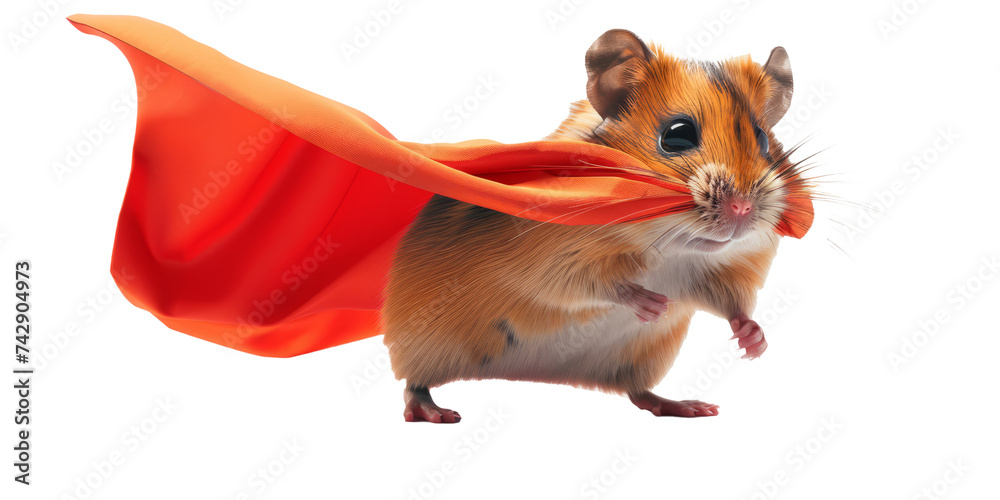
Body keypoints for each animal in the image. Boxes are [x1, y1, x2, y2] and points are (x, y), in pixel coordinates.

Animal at [382, 29, 812, 423]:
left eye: (763, 140)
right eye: (677, 135)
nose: (742, 209)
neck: (665, 246)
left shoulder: (727, 272)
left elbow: (733, 305)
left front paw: (754, 343)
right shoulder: (548, 261)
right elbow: (596, 285)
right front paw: (653, 305)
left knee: (639, 393)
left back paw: (687, 406)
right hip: (419, 346)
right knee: (412, 384)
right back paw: (433, 411)